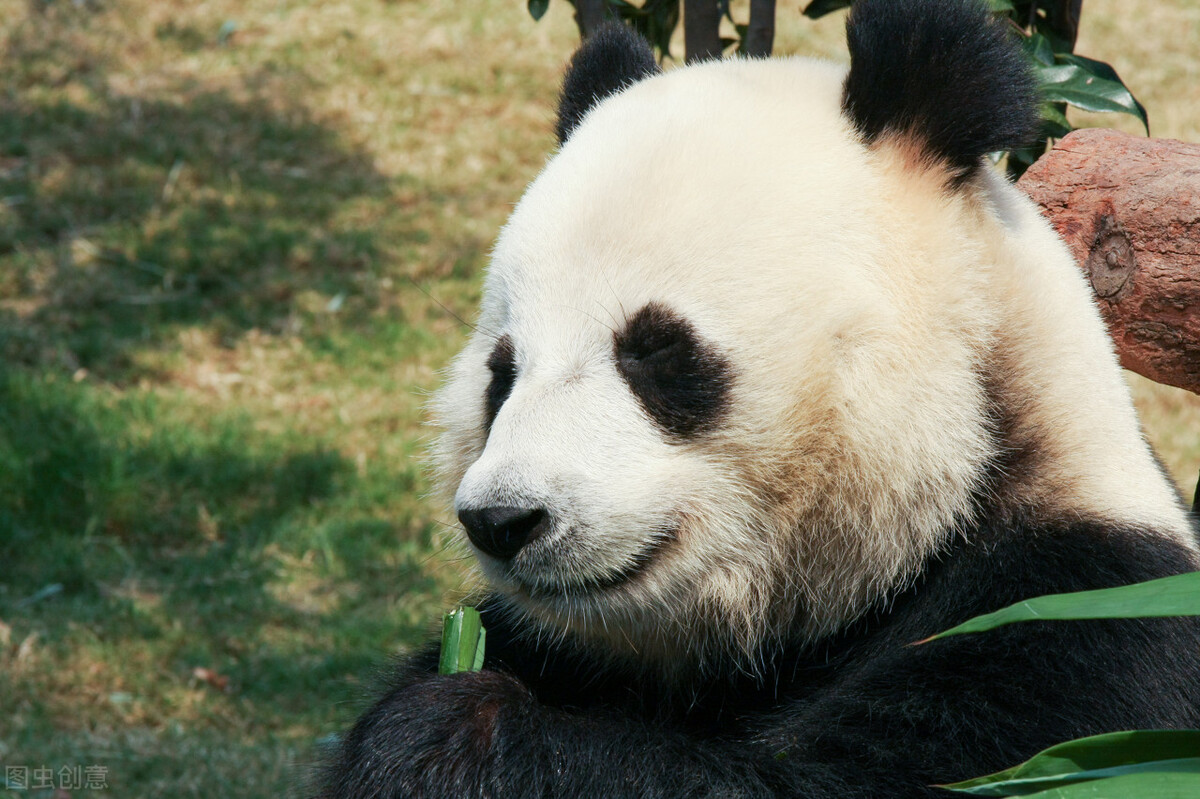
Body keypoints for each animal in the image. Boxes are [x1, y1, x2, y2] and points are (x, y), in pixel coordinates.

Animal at [322, 0, 1200, 795]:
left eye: (659, 355)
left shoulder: (1081, 633)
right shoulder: (560, 646)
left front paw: (448, 738)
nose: (504, 519)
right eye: (502, 372)